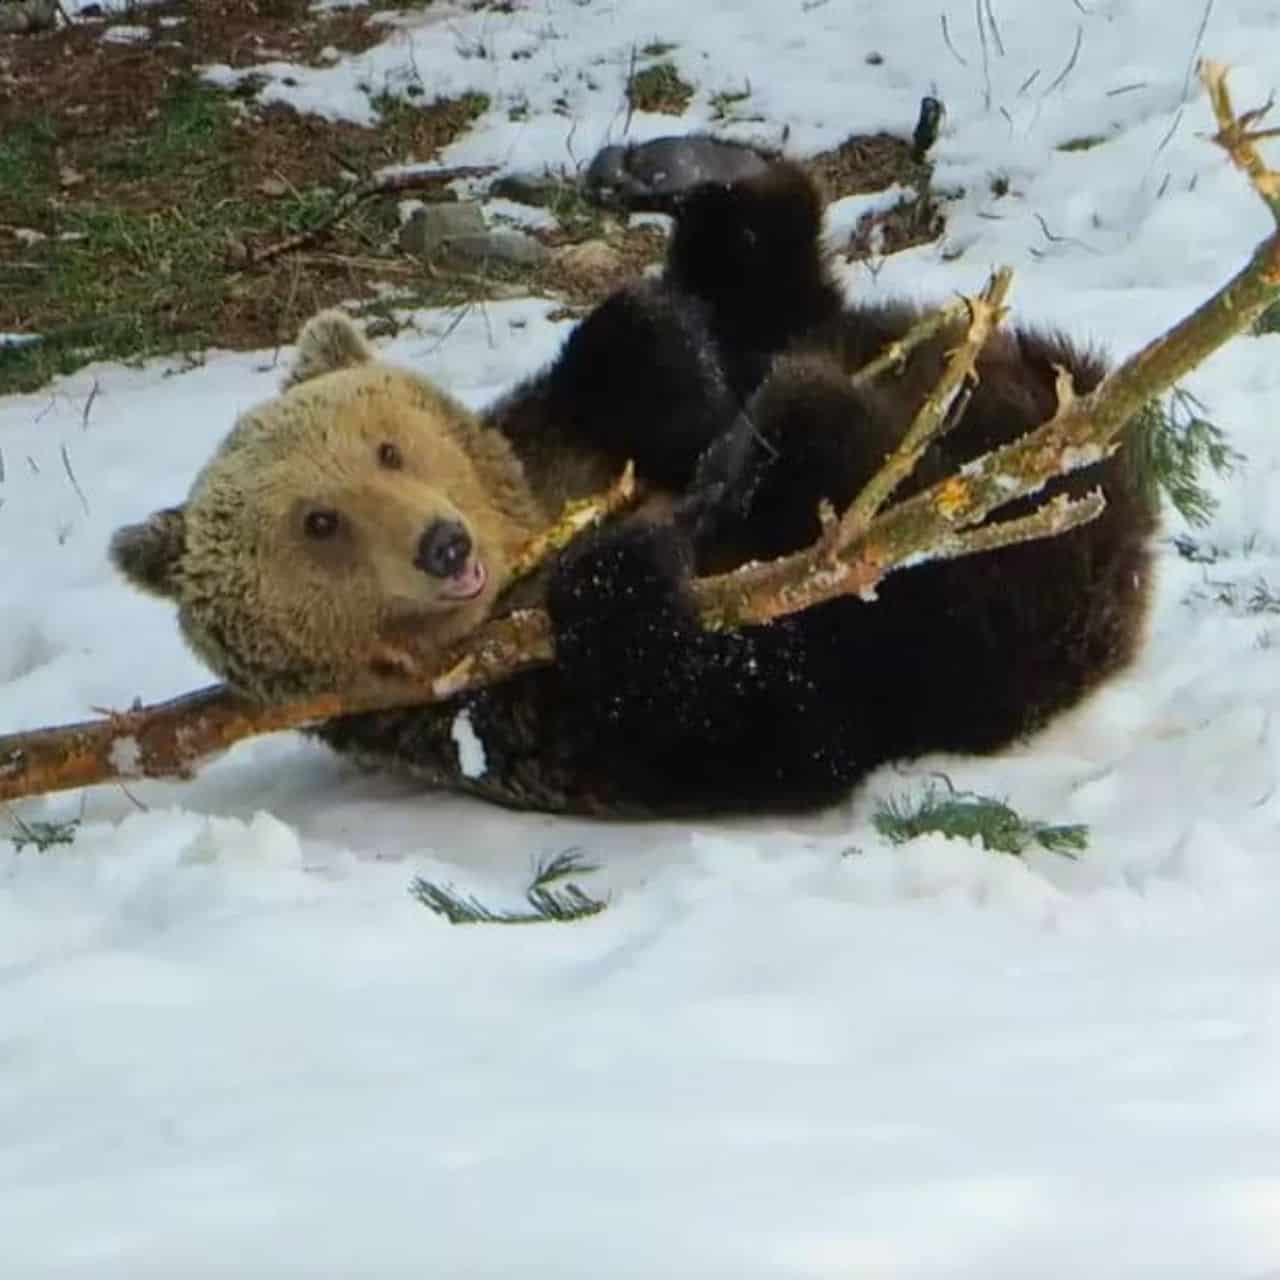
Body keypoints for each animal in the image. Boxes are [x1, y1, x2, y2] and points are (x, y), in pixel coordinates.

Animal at [109, 137, 1158, 817]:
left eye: (387, 448)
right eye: (317, 522)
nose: (441, 543)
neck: (536, 521)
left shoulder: (568, 420)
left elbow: (665, 350)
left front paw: (674, 367)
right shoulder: (494, 714)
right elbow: (715, 708)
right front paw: (656, 540)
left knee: (785, 301)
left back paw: (681, 181)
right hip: (974, 633)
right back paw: (768, 457)